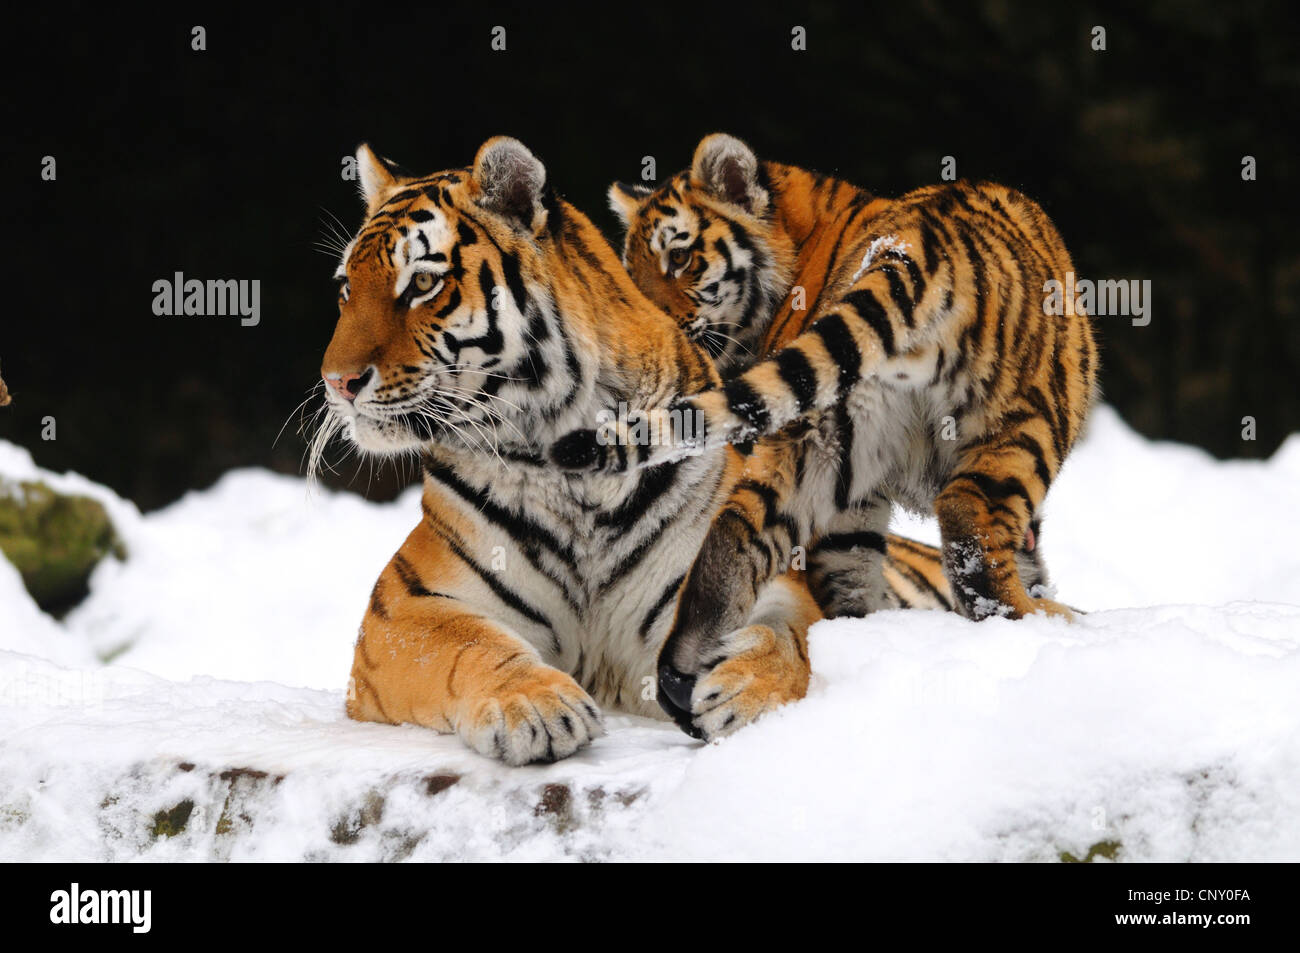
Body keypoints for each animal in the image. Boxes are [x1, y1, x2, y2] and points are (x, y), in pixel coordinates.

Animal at [318, 136, 840, 763]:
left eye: (421, 284)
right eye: (347, 288)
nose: (336, 382)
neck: (566, 460)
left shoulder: (751, 581)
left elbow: (784, 635)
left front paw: (746, 688)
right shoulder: (403, 606)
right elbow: (463, 642)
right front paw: (535, 704)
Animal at [552, 133, 1097, 732]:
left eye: (680, 257)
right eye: (634, 269)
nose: (655, 327)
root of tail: (913, 245)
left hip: (825, 440)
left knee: (741, 529)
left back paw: (684, 672)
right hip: (1024, 422)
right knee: (969, 522)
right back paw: (1034, 624)